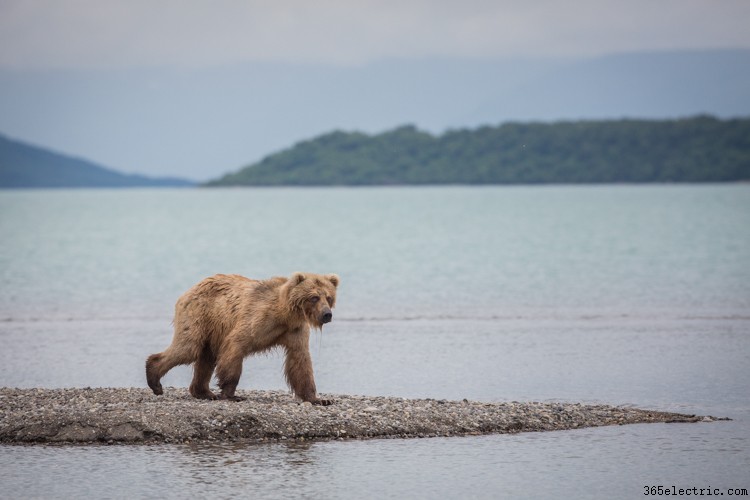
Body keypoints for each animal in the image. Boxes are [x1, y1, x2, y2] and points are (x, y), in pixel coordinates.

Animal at [145, 272, 340, 404]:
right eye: (314, 297)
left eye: (329, 297)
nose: (327, 315)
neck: (284, 314)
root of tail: (191, 288)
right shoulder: (257, 319)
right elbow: (235, 346)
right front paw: (232, 394)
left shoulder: (294, 330)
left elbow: (300, 360)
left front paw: (318, 399)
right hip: (199, 315)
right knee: (188, 348)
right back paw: (155, 380)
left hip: (212, 328)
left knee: (206, 357)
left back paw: (203, 392)